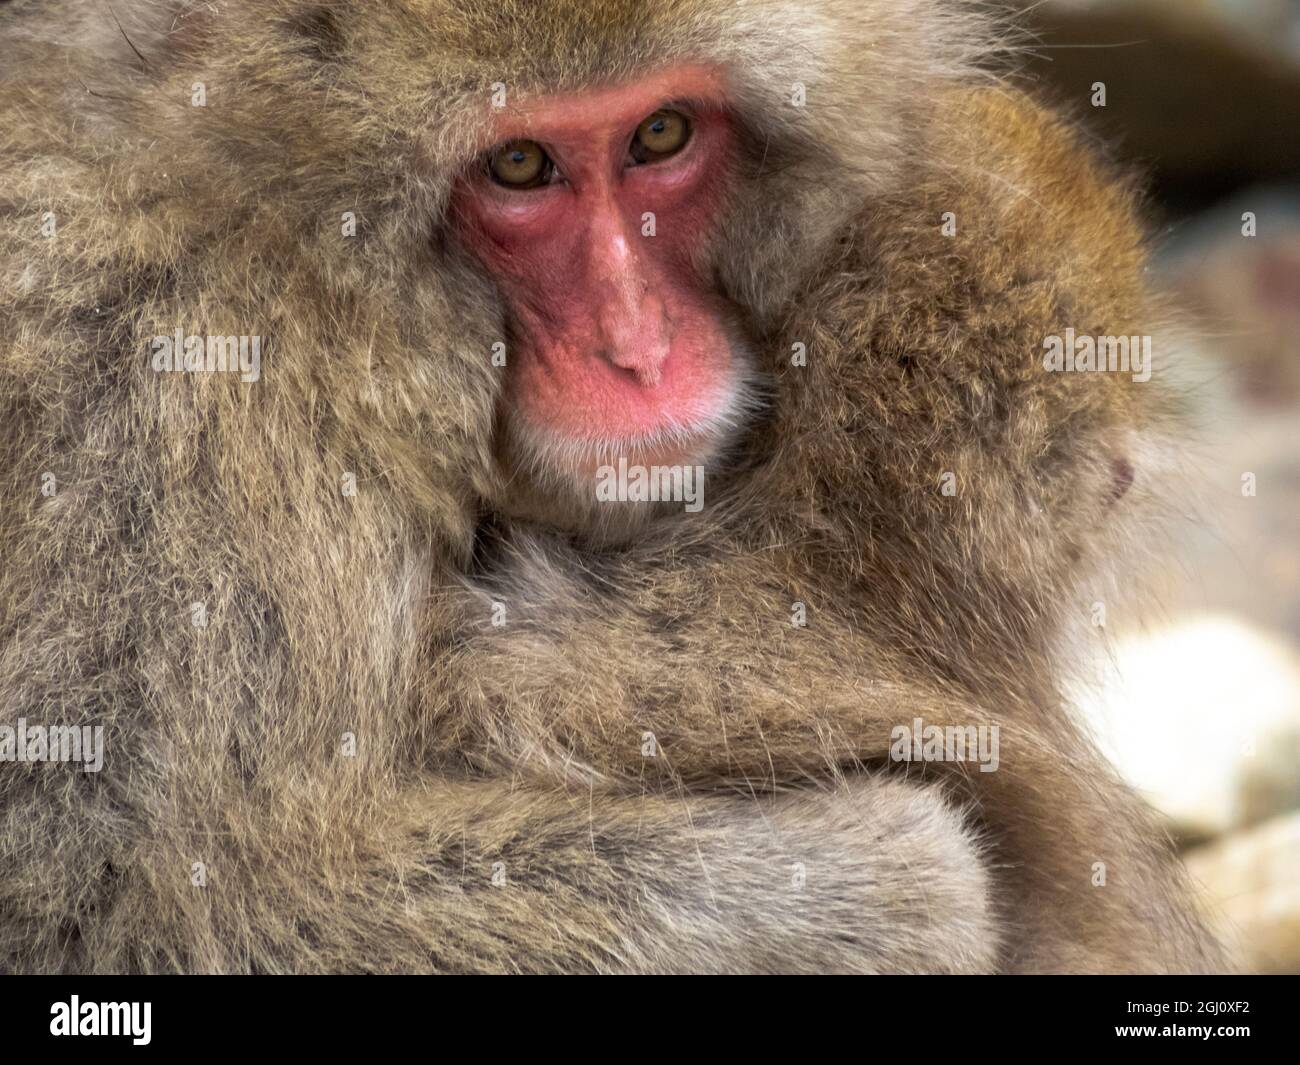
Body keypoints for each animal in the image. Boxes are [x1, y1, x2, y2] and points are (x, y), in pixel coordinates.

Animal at [0, 0, 1220, 973]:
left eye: (660, 135)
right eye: (518, 167)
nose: (639, 350)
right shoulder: (151, 386)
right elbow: (153, 902)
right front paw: (897, 887)